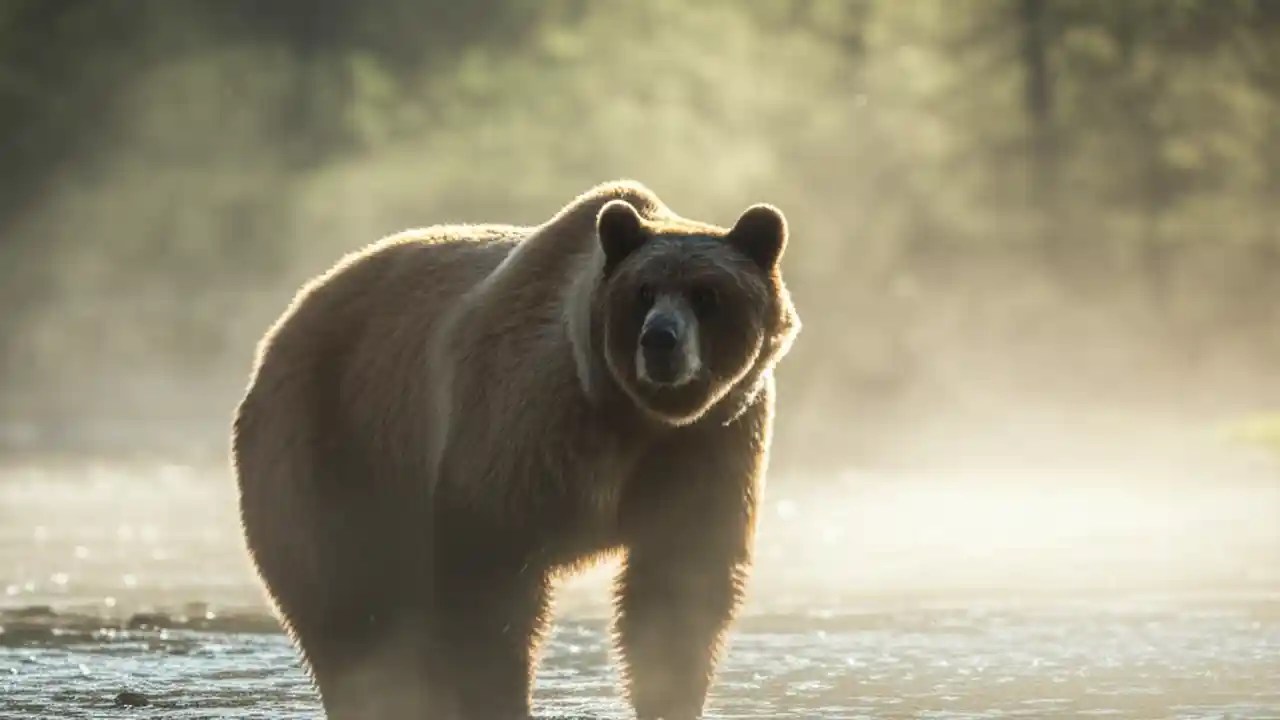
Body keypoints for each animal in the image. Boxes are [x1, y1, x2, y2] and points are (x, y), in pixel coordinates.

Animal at [231, 179, 801, 720]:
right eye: (642, 291)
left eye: (707, 294)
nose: (660, 339)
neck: (630, 416)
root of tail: (282, 326)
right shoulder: (526, 429)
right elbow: (491, 574)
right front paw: (499, 694)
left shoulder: (710, 440)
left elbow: (680, 582)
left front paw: (670, 696)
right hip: (334, 445)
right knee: (348, 605)